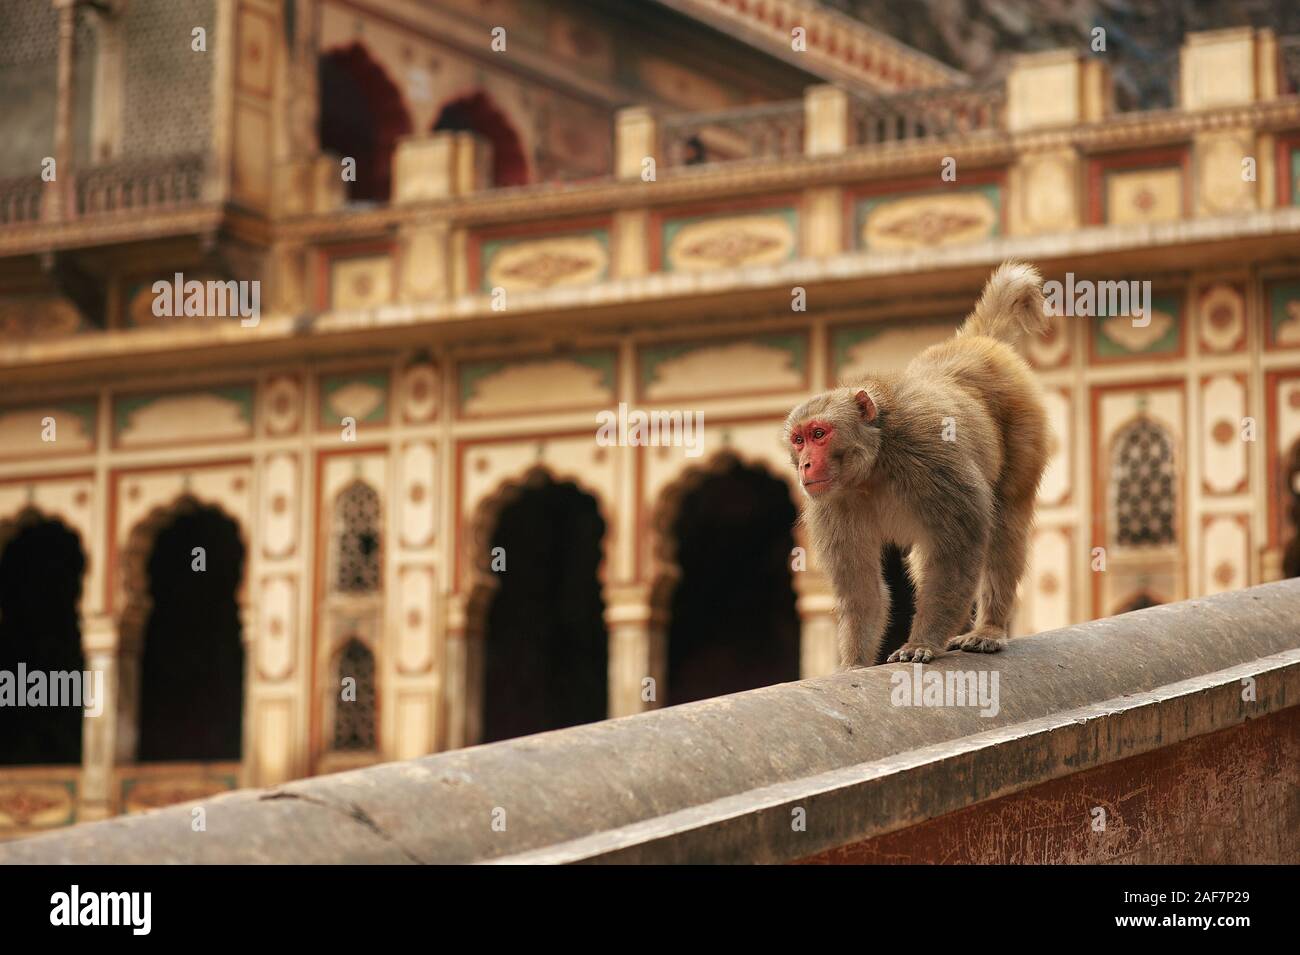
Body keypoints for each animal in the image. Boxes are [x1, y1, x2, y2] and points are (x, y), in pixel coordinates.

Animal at [783, 261, 1050, 667]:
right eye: (798, 440)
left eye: (819, 433)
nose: (805, 465)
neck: (873, 467)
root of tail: (975, 343)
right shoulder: (831, 503)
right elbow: (862, 587)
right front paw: (853, 663)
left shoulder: (929, 456)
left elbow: (960, 546)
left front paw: (921, 642)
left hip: (1025, 422)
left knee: (1005, 522)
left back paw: (988, 628)